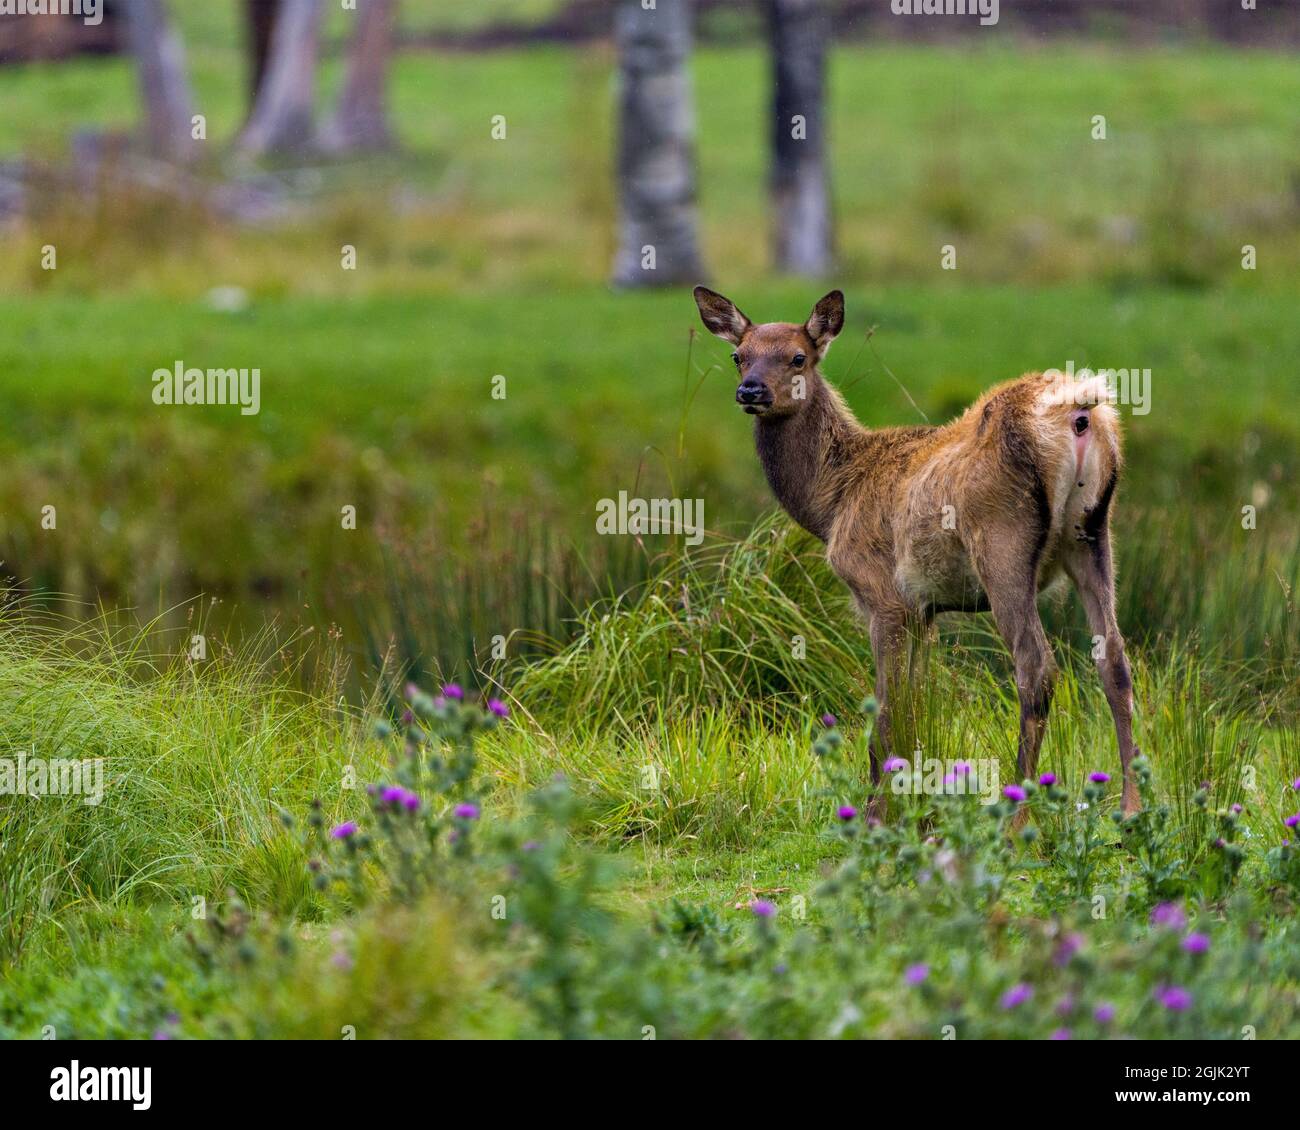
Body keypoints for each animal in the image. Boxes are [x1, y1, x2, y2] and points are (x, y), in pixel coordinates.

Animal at [693, 286, 1141, 818]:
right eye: (739, 356)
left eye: (798, 357)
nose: (751, 391)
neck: (833, 503)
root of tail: (1081, 411)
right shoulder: (924, 609)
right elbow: (916, 704)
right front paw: (912, 801)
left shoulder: (882, 594)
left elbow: (885, 715)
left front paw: (874, 814)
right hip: (1092, 535)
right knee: (1114, 659)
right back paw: (1131, 805)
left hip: (1002, 540)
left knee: (1036, 666)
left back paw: (1017, 814)